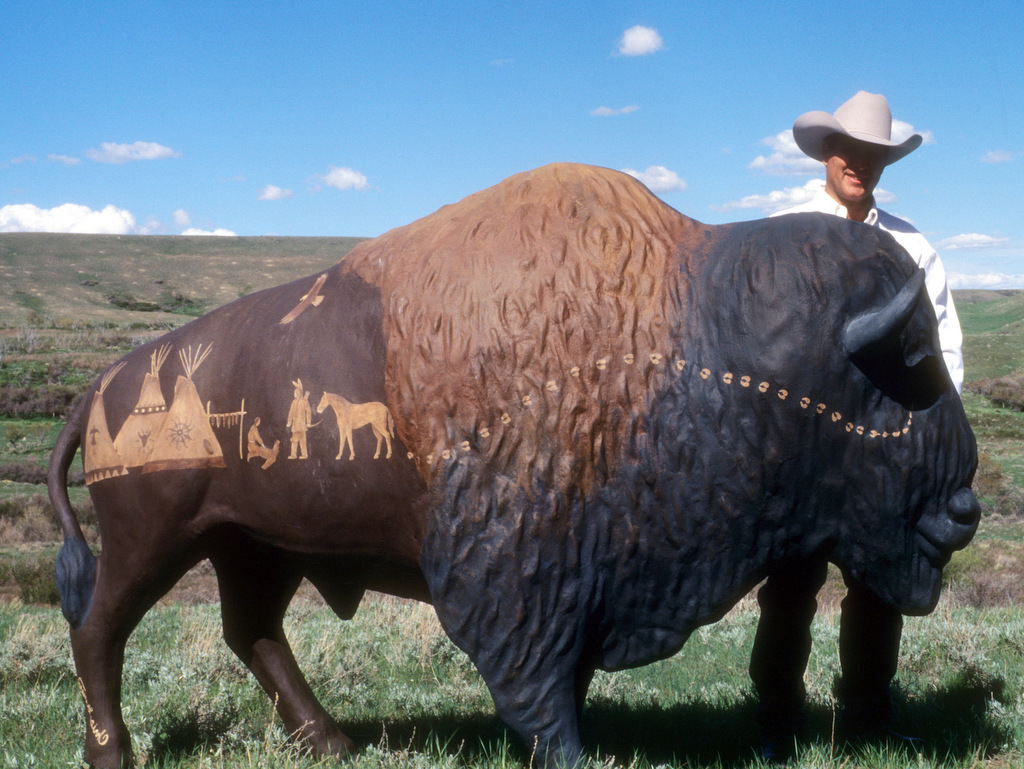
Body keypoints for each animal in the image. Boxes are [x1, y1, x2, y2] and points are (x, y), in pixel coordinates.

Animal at [49, 163, 979, 768]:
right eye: (909, 364)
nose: (966, 508)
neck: (700, 335)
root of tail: (103, 384)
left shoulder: (587, 576)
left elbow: (563, 675)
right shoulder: (524, 575)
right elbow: (537, 686)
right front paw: (570, 755)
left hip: (254, 547)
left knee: (253, 632)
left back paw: (332, 740)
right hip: (155, 540)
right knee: (100, 627)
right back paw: (114, 752)